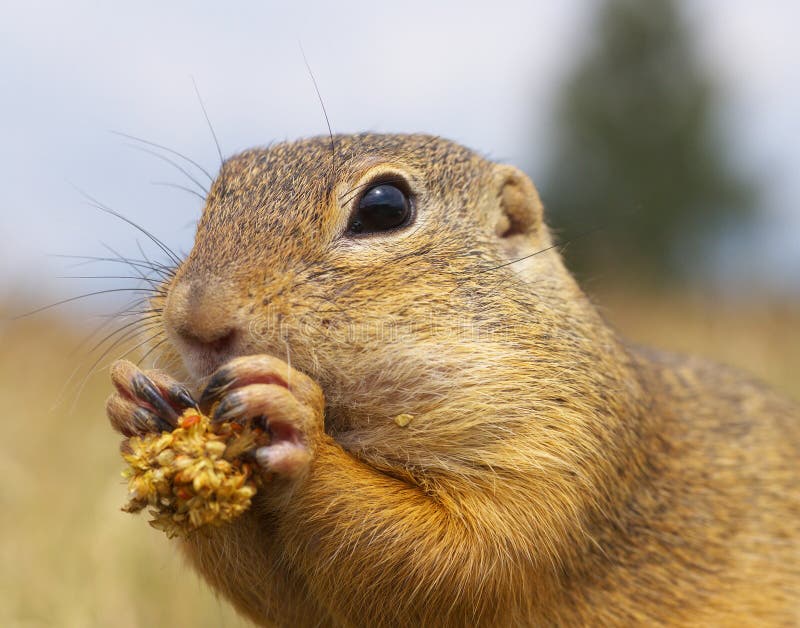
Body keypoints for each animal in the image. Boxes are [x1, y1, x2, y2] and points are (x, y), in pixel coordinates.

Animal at [106, 133, 800, 626]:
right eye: (211, 204)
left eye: (385, 206)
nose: (195, 319)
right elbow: (279, 594)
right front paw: (134, 400)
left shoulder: (559, 461)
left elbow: (456, 560)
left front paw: (296, 423)